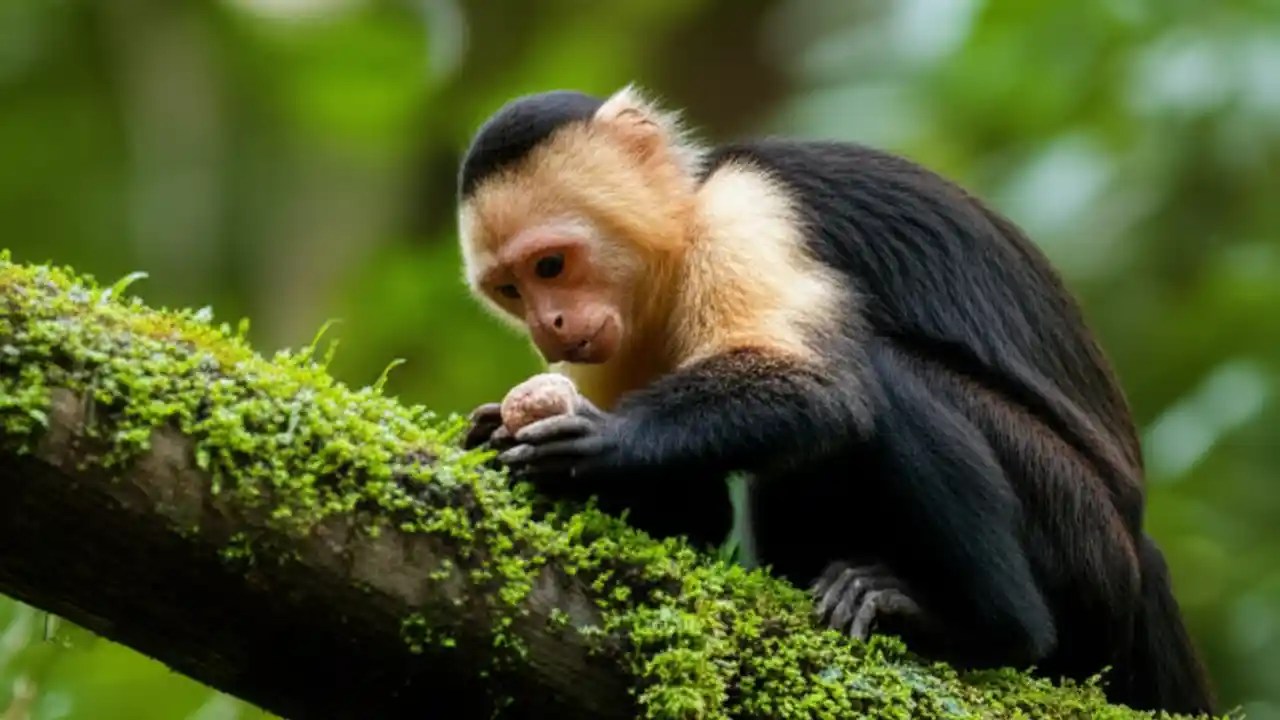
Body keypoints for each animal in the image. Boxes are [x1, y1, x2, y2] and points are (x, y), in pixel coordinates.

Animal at [453, 85, 1215, 716]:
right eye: (512, 290)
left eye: (552, 265)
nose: (549, 327)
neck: (679, 245)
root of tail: (1138, 553)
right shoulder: (619, 340)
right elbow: (693, 518)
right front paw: (509, 438)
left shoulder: (746, 218)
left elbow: (826, 393)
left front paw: (599, 439)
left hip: (1084, 539)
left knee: (885, 378)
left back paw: (989, 628)